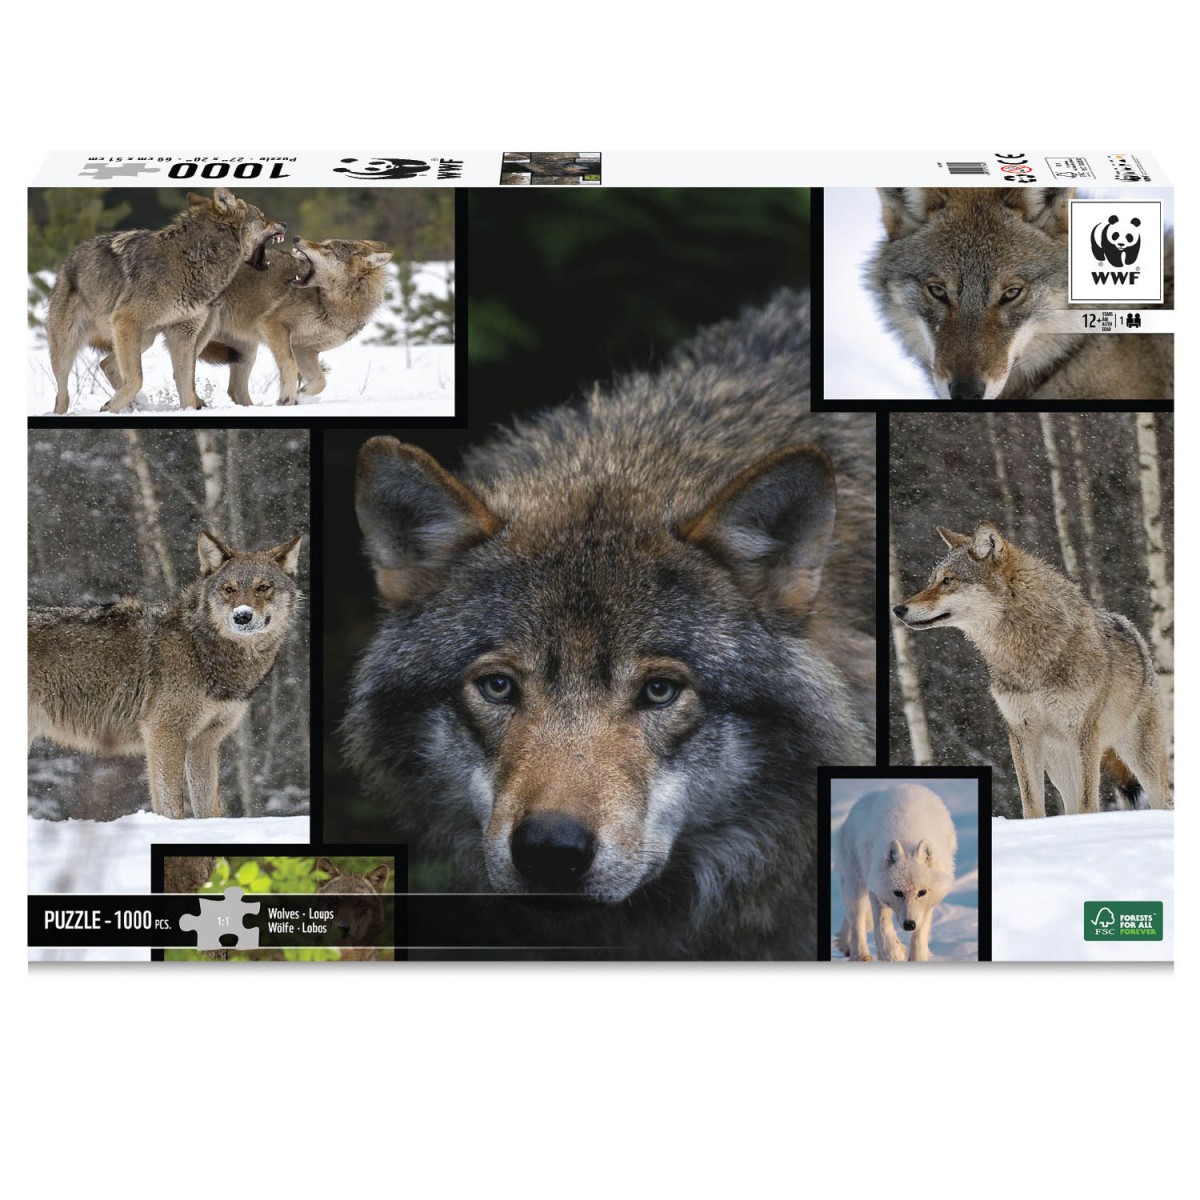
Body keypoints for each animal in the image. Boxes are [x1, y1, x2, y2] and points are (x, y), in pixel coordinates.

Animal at [29, 531, 304, 818]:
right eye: (229, 589)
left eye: (263, 587)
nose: (242, 616)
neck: (201, 647)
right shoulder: (163, 733)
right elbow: (171, 806)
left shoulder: (204, 743)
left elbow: (208, 808)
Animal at [46, 189, 288, 414]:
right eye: (262, 216)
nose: (285, 223)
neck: (193, 258)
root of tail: (70, 258)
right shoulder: (127, 319)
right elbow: (137, 379)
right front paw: (111, 406)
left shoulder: (183, 334)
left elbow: (186, 387)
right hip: (70, 347)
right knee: (63, 395)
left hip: (143, 339)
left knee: (106, 364)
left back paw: (134, 406)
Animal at [200, 237, 393, 406]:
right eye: (325, 243)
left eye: (327, 248)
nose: (296, 238)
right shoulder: (274, 325)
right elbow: (290, 364)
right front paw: (287, 398)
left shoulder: (304, 349)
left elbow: (321, 381)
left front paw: (301, 394)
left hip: (246, 350)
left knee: (235, 391)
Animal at [835, 784, 957, 962]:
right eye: (898, 893)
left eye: (922, 892)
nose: (909, 924)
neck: (908, 838)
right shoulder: (876, 890)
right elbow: (882, 927)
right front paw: (892, 955)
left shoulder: (927, 903)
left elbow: (921, 933)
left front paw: (917, 958)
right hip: (856, 887)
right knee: (857, 921)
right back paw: (860, 955)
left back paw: (846, 944)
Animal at [893, 523, 1172, 818]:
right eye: (933, 580)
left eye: (948, 580)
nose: (898, 609)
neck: (1024, 656)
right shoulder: (1021, 734)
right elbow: (1032, 805)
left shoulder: (1082, 733)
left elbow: (1088, 804)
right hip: (1057, 762)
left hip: (1138, 759)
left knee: (1162, 799)